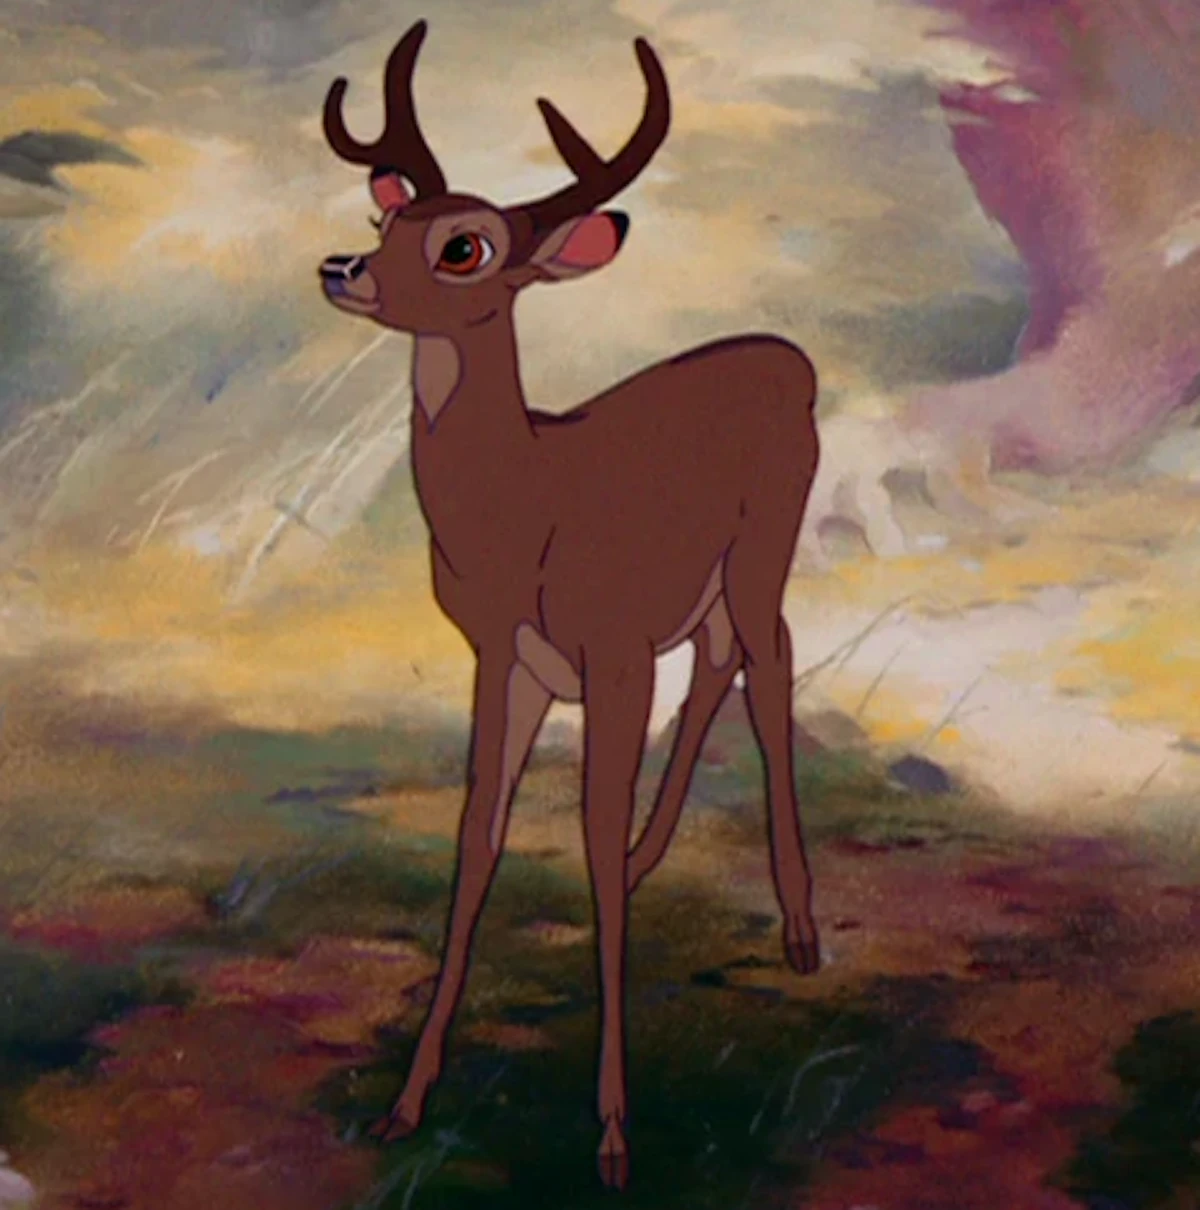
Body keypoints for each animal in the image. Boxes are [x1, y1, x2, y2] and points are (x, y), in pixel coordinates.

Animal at [318, 20, 822, 1190]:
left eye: (465, 248)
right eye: (385, 218)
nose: (339, 267)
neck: (522, 514)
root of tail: (796, 359)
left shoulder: (613, 649)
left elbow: (584, 839)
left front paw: (614, 1133)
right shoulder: (506, 658)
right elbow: (478, 838)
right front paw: (406, 1101)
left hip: (765, 542)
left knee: (772, 669)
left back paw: (800, 933)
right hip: (708, 585)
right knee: (733, 657)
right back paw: (657, 858)